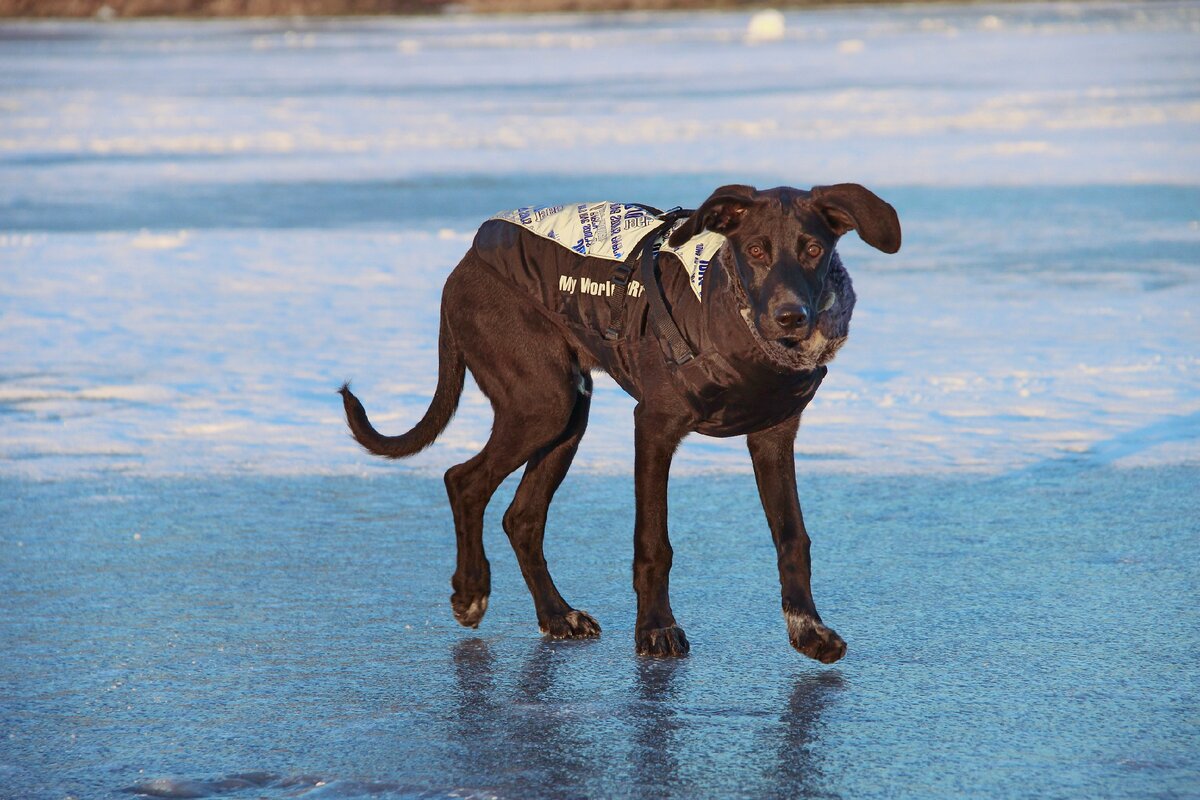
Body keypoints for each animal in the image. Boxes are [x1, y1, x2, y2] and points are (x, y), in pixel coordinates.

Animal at [338, 184, 902, 662]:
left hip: (568, 415)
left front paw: (808, 628)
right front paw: (655, 628)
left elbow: (792, 539)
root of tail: (467, 260)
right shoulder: (654, 426)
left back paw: (557, 615)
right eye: (757, 251)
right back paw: (472, 589)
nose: (791, 318)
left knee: (522, 516)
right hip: (541, 402)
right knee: (464, 480)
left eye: (813, 250)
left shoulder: (773, 436)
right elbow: (653, 541)